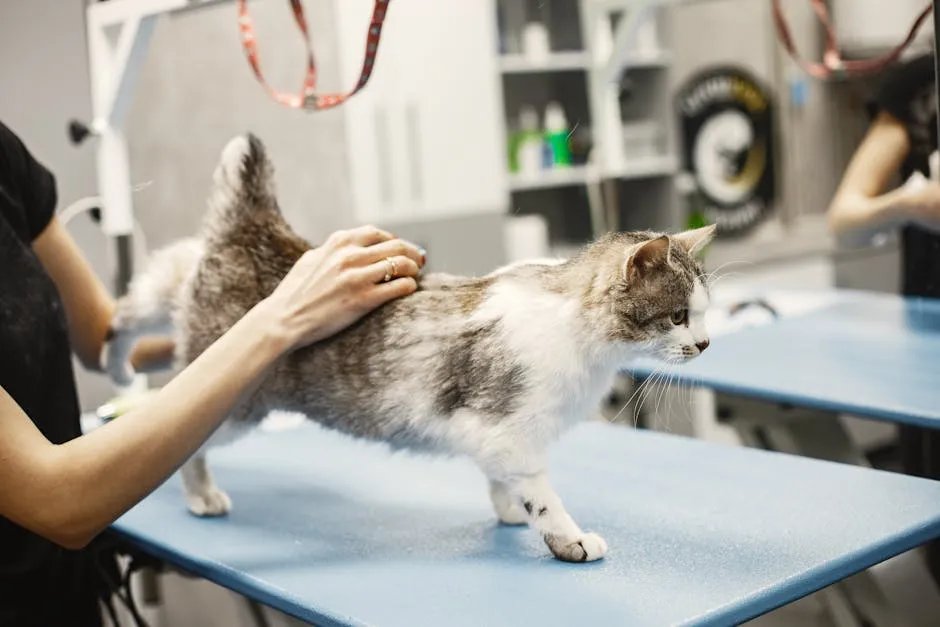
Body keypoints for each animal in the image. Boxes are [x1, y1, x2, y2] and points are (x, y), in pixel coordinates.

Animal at [103, 134, 716, 564]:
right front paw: (568, 539)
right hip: (231, 403)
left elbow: (500, 479)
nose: (706, 343)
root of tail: (262, 233)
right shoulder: (510, 428)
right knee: (178, 426)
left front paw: (507, 511)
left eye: (705, 310)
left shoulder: (494, 436)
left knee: (150, 288)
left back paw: (113, 354)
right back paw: (198, 492)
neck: (586, 342)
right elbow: (543, 496)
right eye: (678, 316)